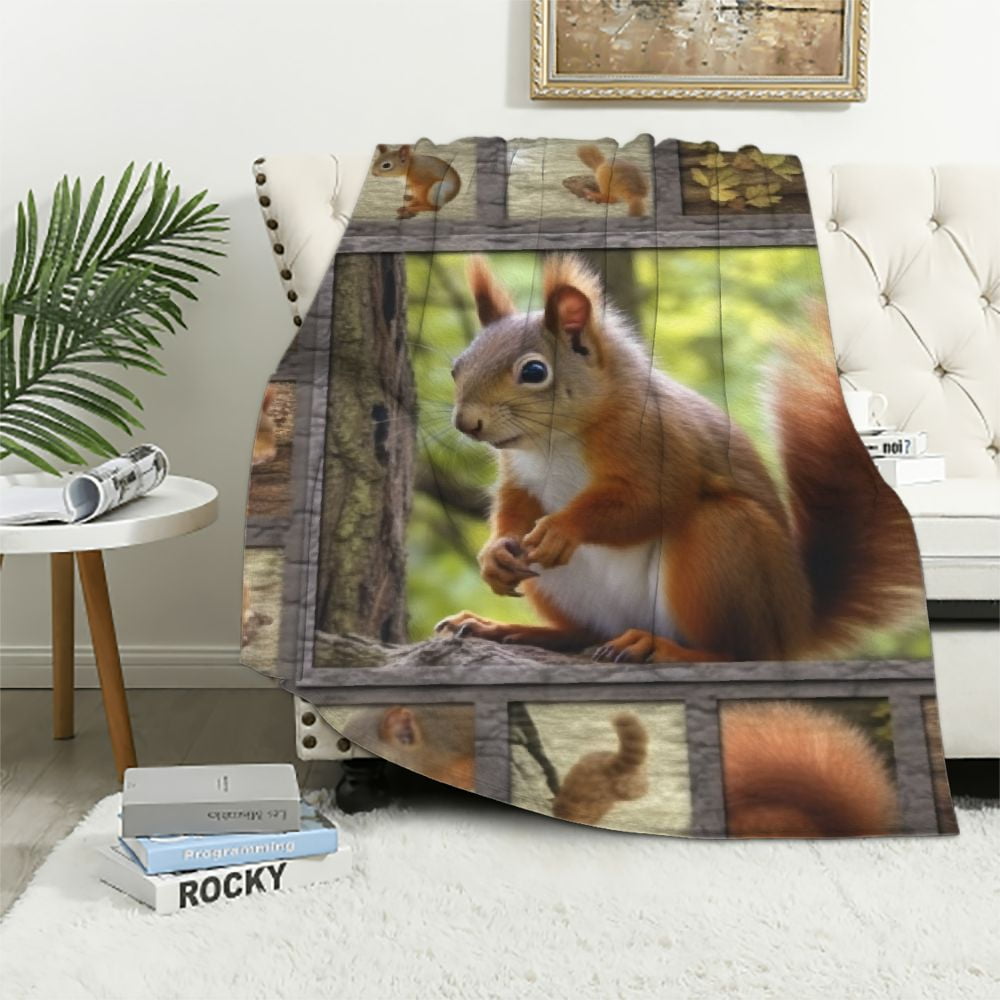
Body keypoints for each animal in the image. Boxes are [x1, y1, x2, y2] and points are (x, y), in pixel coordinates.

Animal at [435, 252, 925, 665]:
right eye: (457, 367)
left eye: (534, 371)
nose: (467, 423)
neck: (553, 441)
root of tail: (795, 629)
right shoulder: (520, 474)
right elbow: (514, 506)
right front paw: (494, 554)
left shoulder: (660, 442)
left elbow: (653, 499)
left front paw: (563, 527)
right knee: (585, 633)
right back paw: (511, 629)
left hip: (726, 546)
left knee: (739, 652)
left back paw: (662, 648)